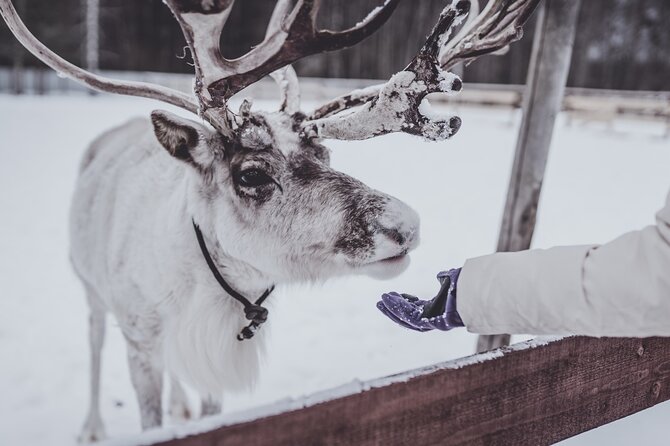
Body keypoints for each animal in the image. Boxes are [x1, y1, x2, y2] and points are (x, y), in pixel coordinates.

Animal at [0, 0, 538, 441]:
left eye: (325, 152)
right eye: (251, 174)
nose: (406, 225)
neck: (208, 289)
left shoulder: (214, 356)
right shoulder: (140, 337)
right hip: (89, 287)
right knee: (93, 343)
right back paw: (91, 426)